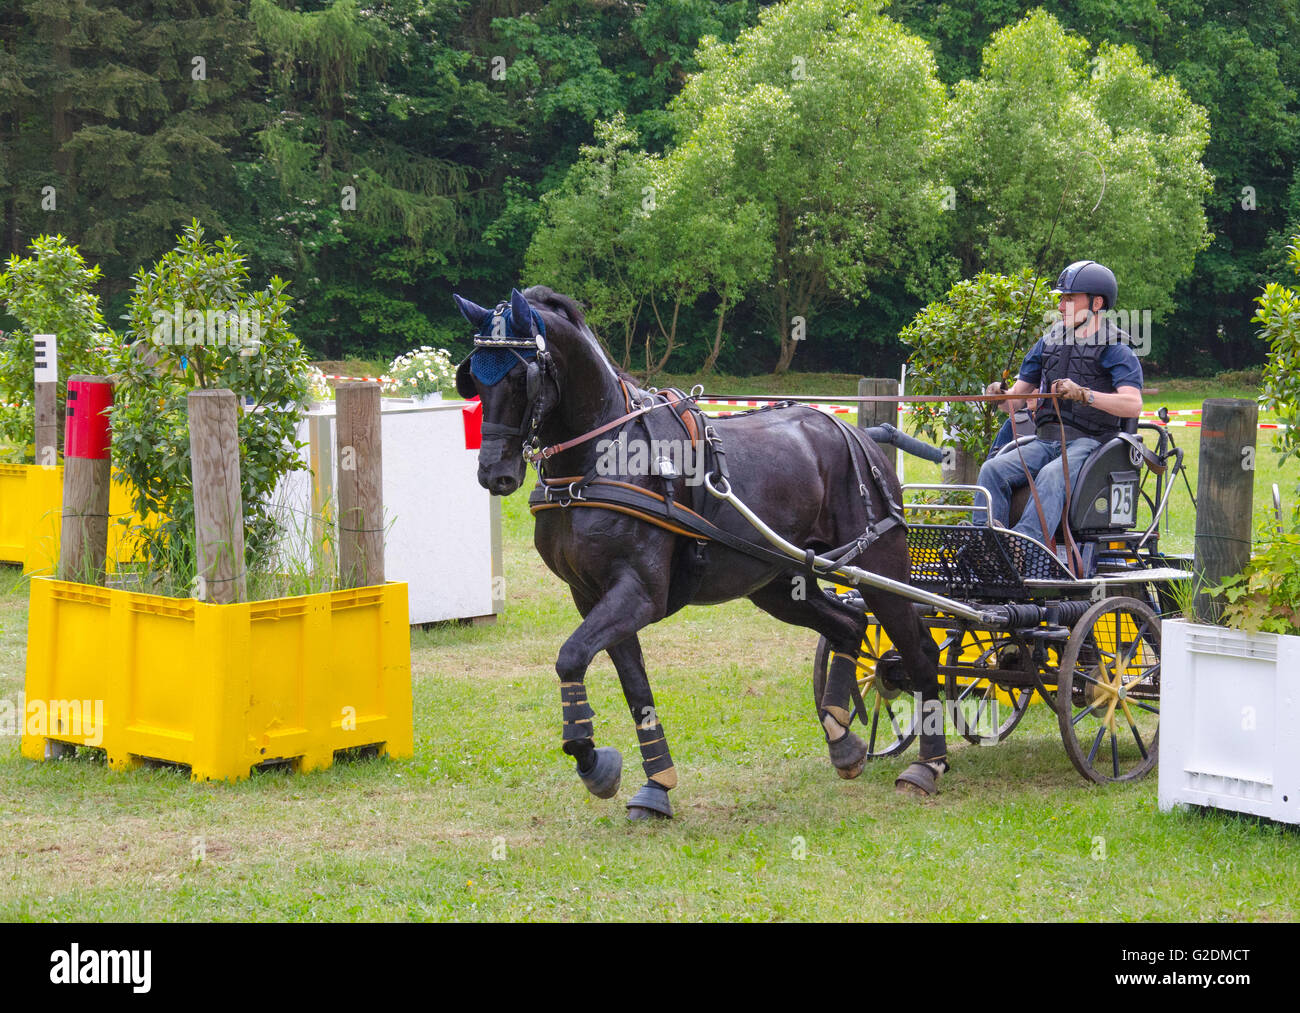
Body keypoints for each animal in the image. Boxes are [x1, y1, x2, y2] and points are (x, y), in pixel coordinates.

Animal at [452, 286, 947, 819]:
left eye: (519, 375)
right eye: (473, 377)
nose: (494, 473)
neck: (600, 457)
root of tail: (856, 433)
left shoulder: (638, 594)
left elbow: (570, 657)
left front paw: (591, 759)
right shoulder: (591, 596)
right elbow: (635, 687)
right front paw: (655, 785)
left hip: (878, 565)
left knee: (919, 651)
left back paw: (927, 765)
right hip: (780, 584)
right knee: (850, 626)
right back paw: (842, 737)